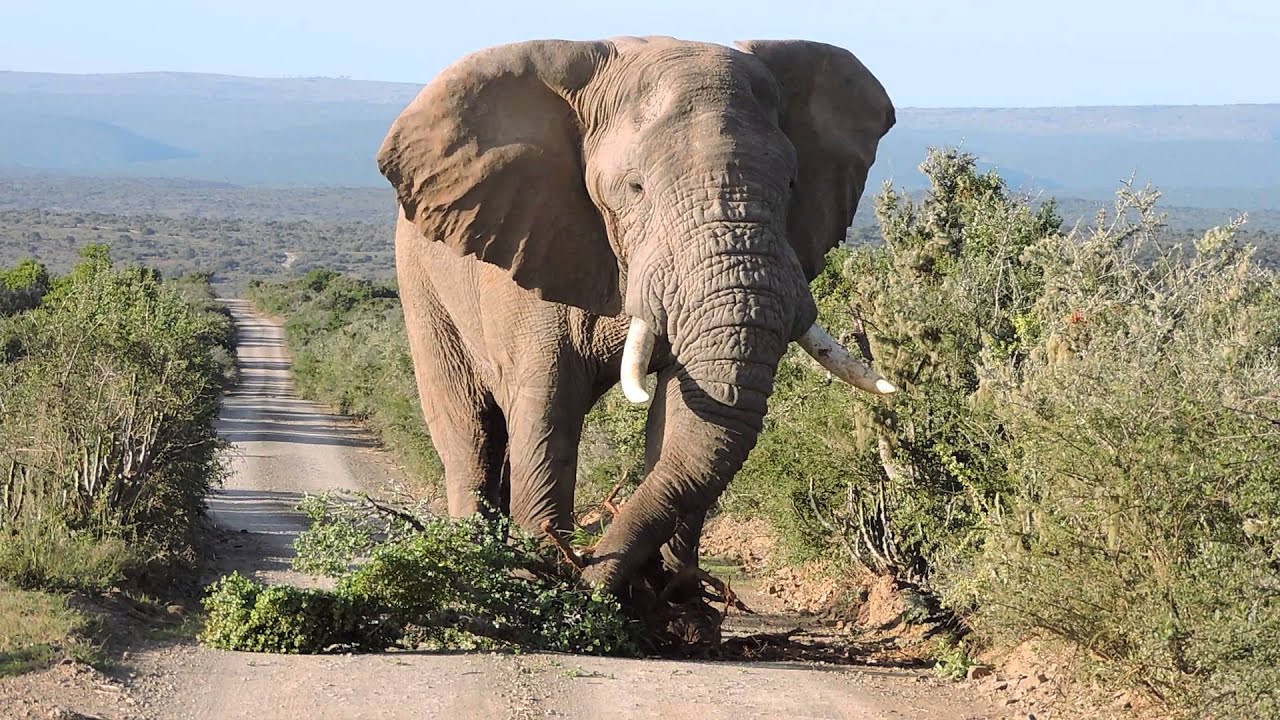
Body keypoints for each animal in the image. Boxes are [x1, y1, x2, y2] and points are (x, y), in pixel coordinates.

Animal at [376, 36, 896, 596]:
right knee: (469, 429)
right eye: (634, 188)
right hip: (420, 284)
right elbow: (548, 406)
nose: (590, 571)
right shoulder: (529, 251)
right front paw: (547, 574)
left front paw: (671, 593)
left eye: (794, 183)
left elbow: (683, 412)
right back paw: (472, 560)